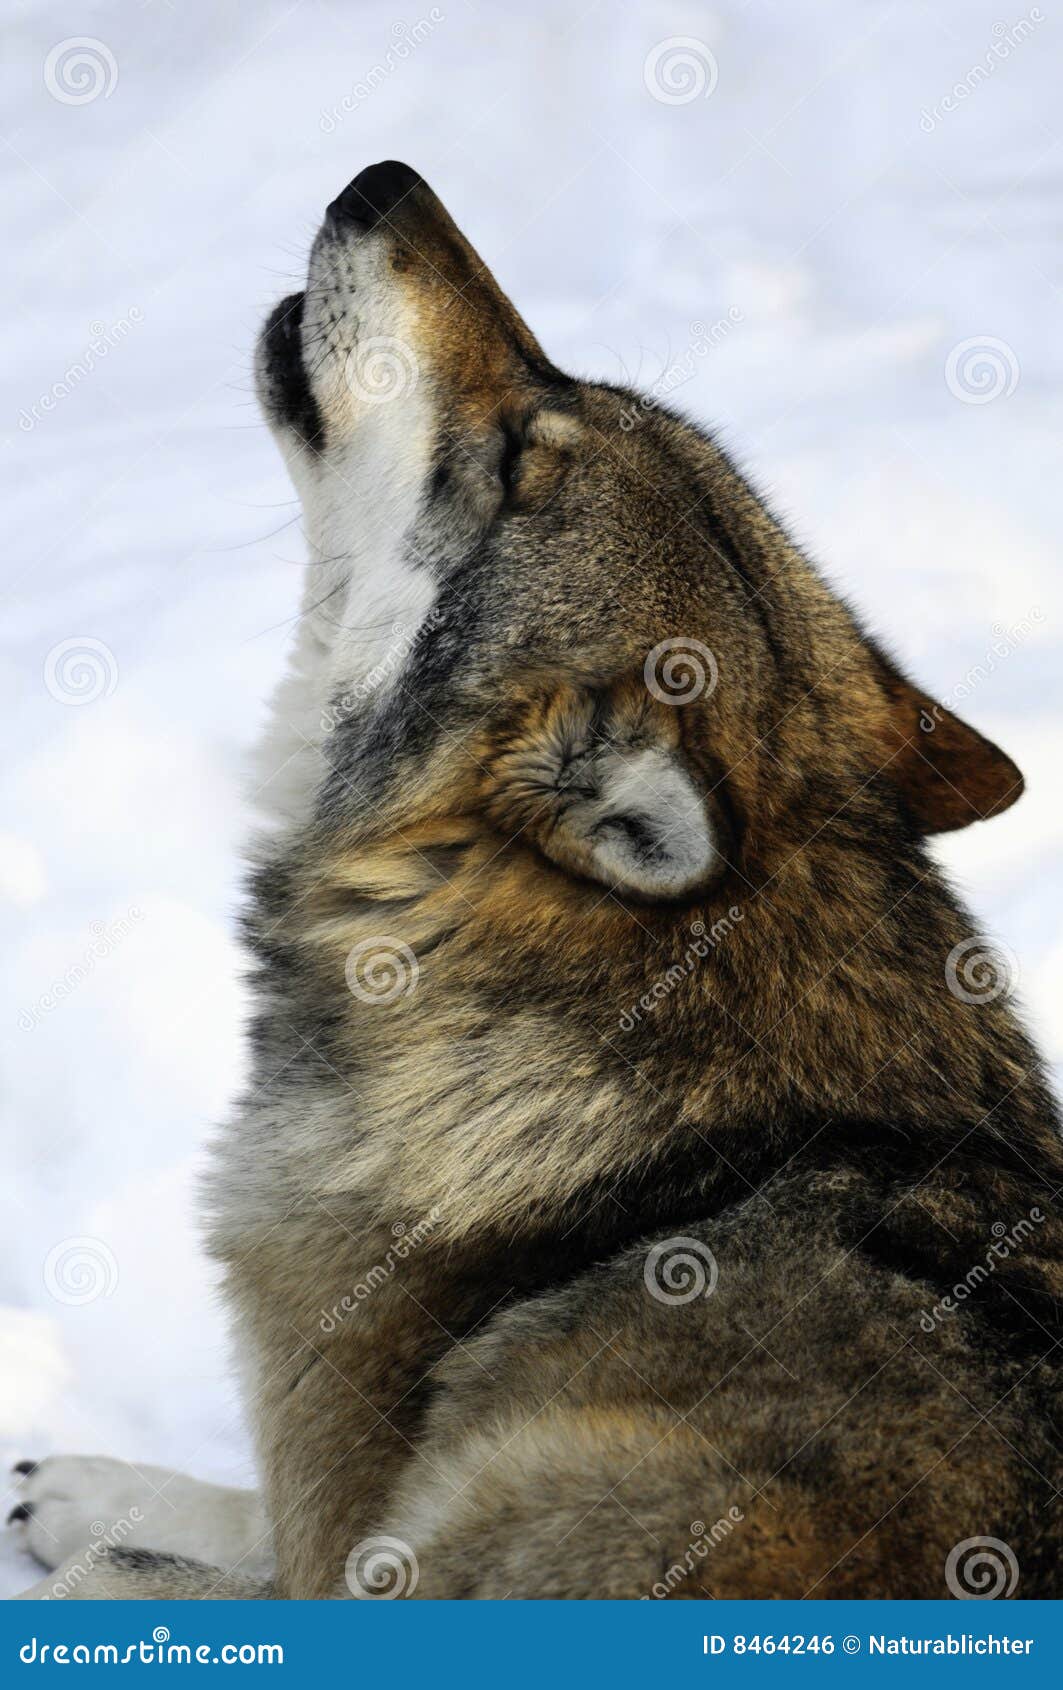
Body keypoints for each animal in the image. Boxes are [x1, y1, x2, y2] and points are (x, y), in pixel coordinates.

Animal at [12, 162, 1062, 1600]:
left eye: (513, 461)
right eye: (561, 389)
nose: (383, 182)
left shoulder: (340, 1514)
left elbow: (186, 1551)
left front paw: (96, 1512)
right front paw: (70, 1484)